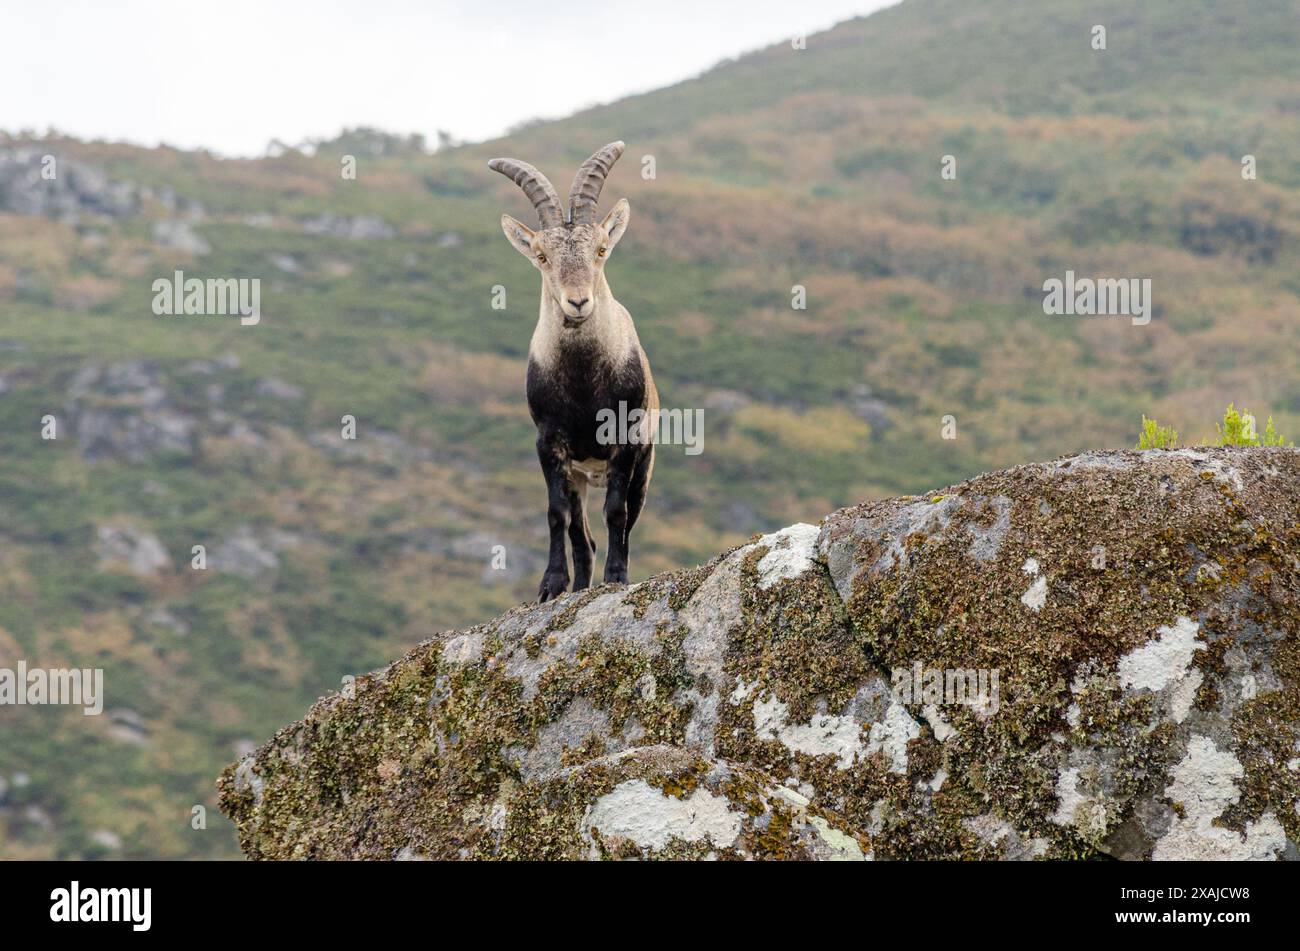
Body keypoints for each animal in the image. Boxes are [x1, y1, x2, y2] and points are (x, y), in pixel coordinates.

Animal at [489, 142, 658, 603]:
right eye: (542, 256)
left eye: (600, 249)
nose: (578, 302)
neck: (584, 383)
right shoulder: (550, 442)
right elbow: (556, 513)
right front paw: (551, 585)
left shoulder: (625, 438)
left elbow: (616, 512)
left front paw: (616, 578)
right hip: (579, 474)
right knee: (584, 536)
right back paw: (579, 586)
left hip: (644, 466)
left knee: (625, 520)